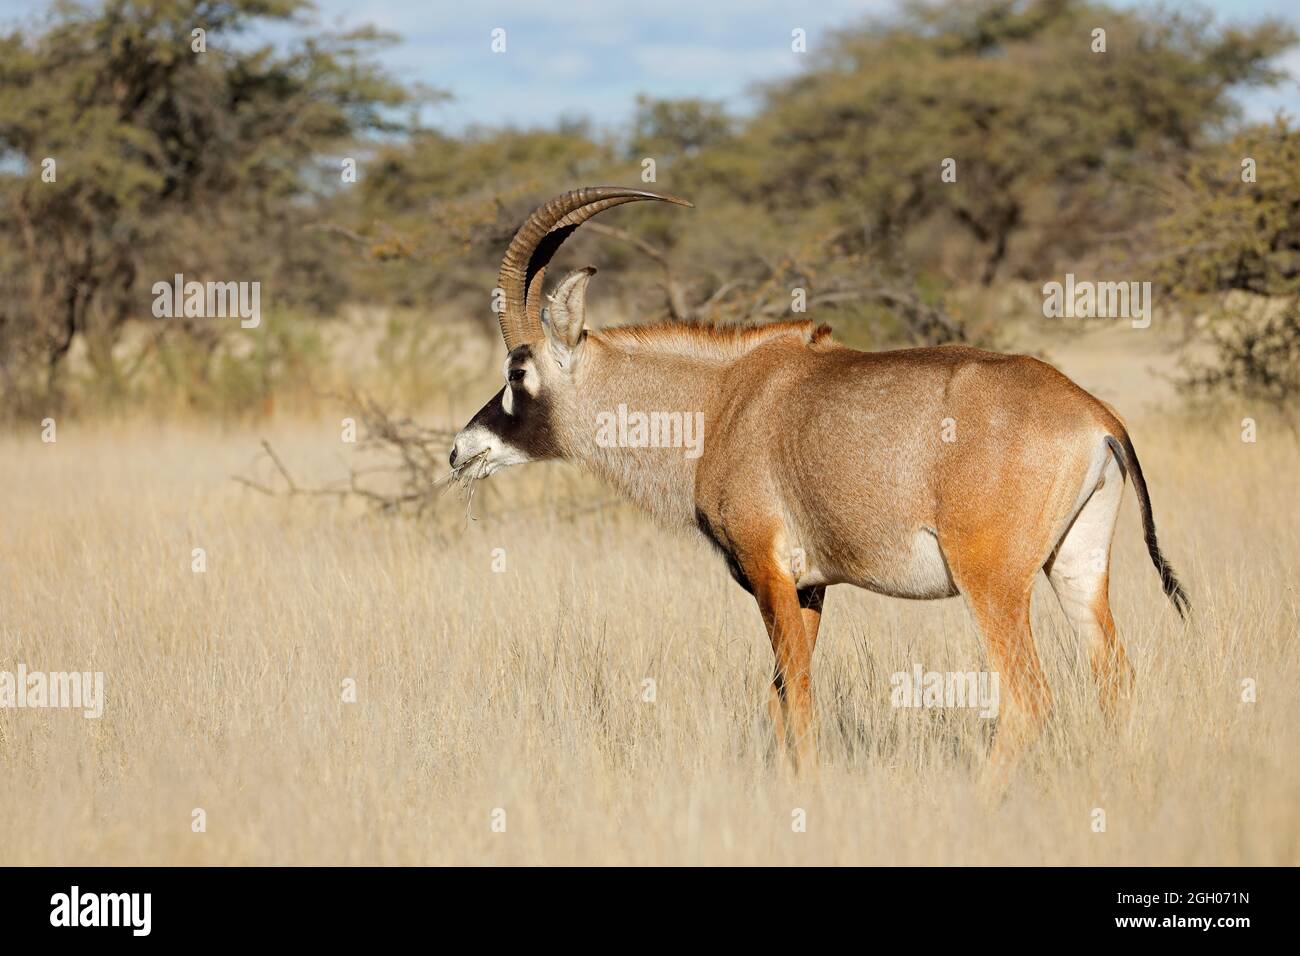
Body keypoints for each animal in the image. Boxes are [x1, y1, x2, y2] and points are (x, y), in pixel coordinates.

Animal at [449, 187, 1189, 775]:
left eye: (517, 371)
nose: (460, 451)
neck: (722, 401)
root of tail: (1095, 415)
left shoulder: (768, 573)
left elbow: (798, 696)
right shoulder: (809, 587)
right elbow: (781, 695)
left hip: (992, 582)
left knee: (1028, 698)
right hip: (1076, 569)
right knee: (1115, 679)